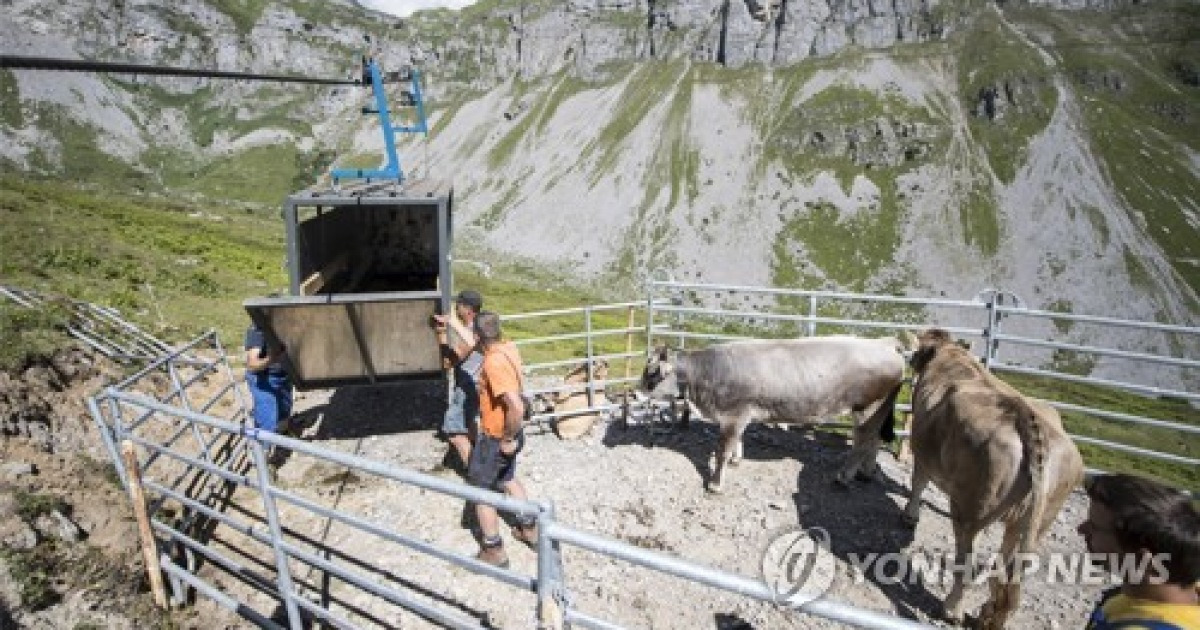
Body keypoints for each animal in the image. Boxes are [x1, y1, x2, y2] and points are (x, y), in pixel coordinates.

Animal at [639, 335, 911, 493]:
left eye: (653, 374)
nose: (634, 393)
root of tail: (885, 342)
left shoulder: (733, 414)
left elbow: (723, 450)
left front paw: (715, 484)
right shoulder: (741, 415)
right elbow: (737, 442)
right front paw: (737, 460)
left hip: (868, 407)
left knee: (864, 440)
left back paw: (843, 477)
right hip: (876, 408)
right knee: (872, 440)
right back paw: (865, 473)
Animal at [903, 329, 1084, 629]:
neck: (952, 355)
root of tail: (1026, 418)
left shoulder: (922, 447)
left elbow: (918, 482)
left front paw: (910, 515)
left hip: (971, 507)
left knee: (967, 563)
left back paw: (952, 610)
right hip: (1038, 521)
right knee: (1009, 575)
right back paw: (988, 616)